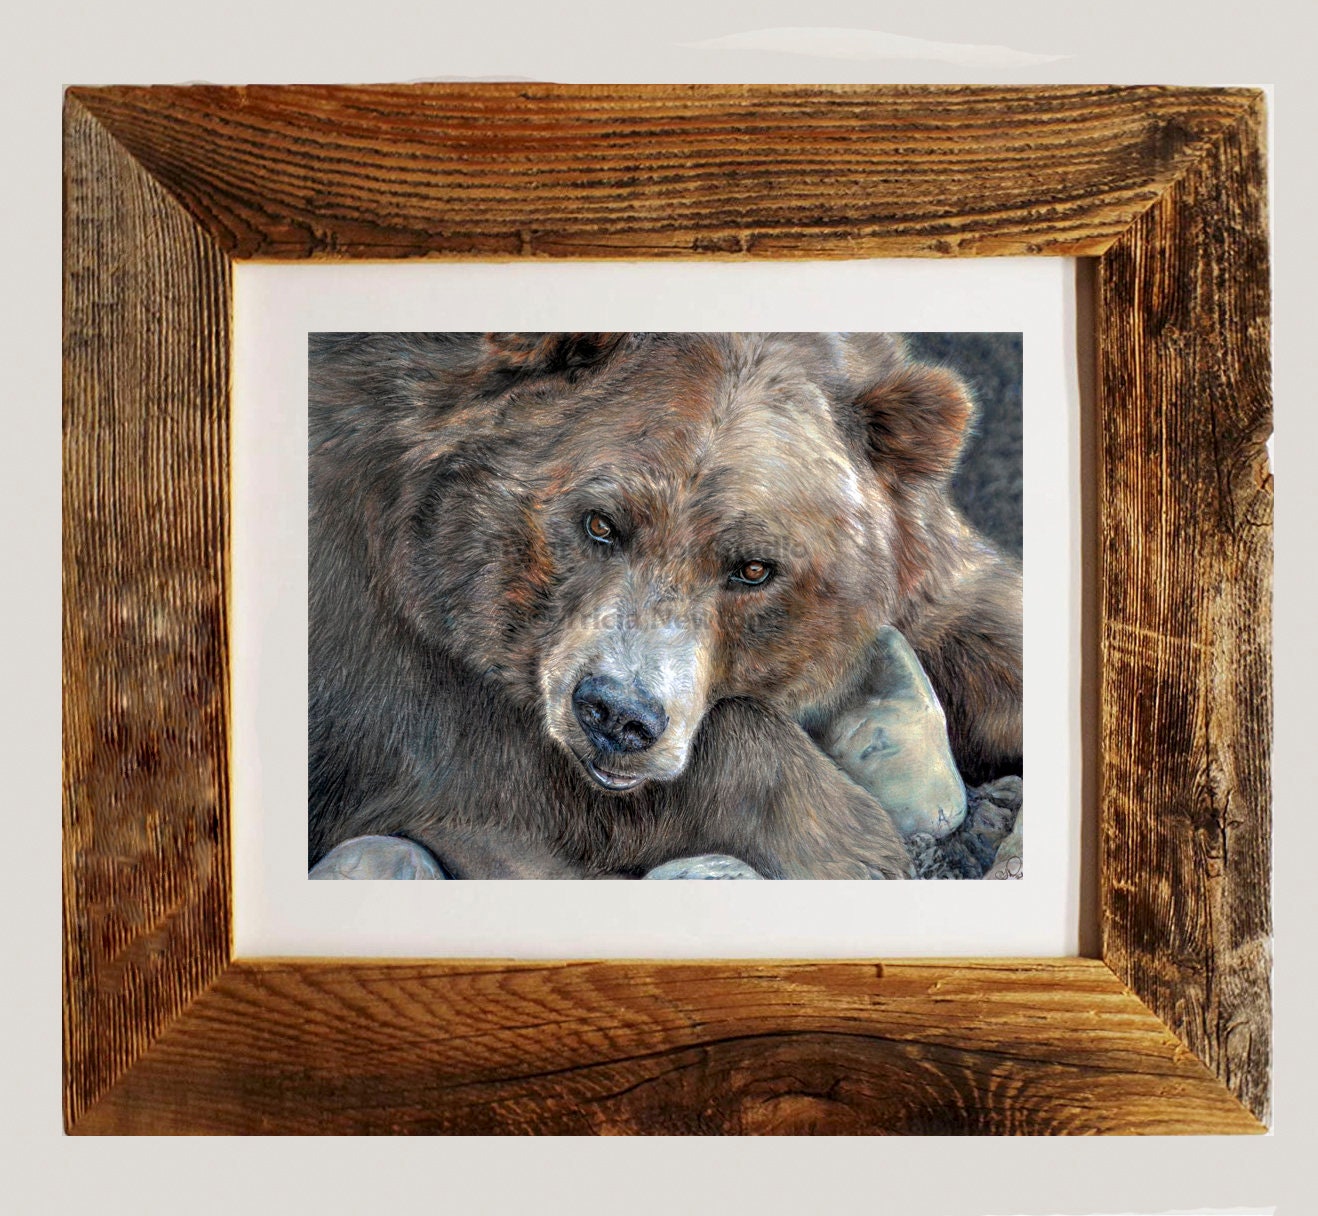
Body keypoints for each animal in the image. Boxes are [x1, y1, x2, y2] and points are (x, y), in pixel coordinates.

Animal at [308, 332, 1022, 880]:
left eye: (753, 569)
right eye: (600, 522)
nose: (617, 716)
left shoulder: (923, 571)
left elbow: (983, 627)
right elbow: (462, 757)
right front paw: (853, 843)